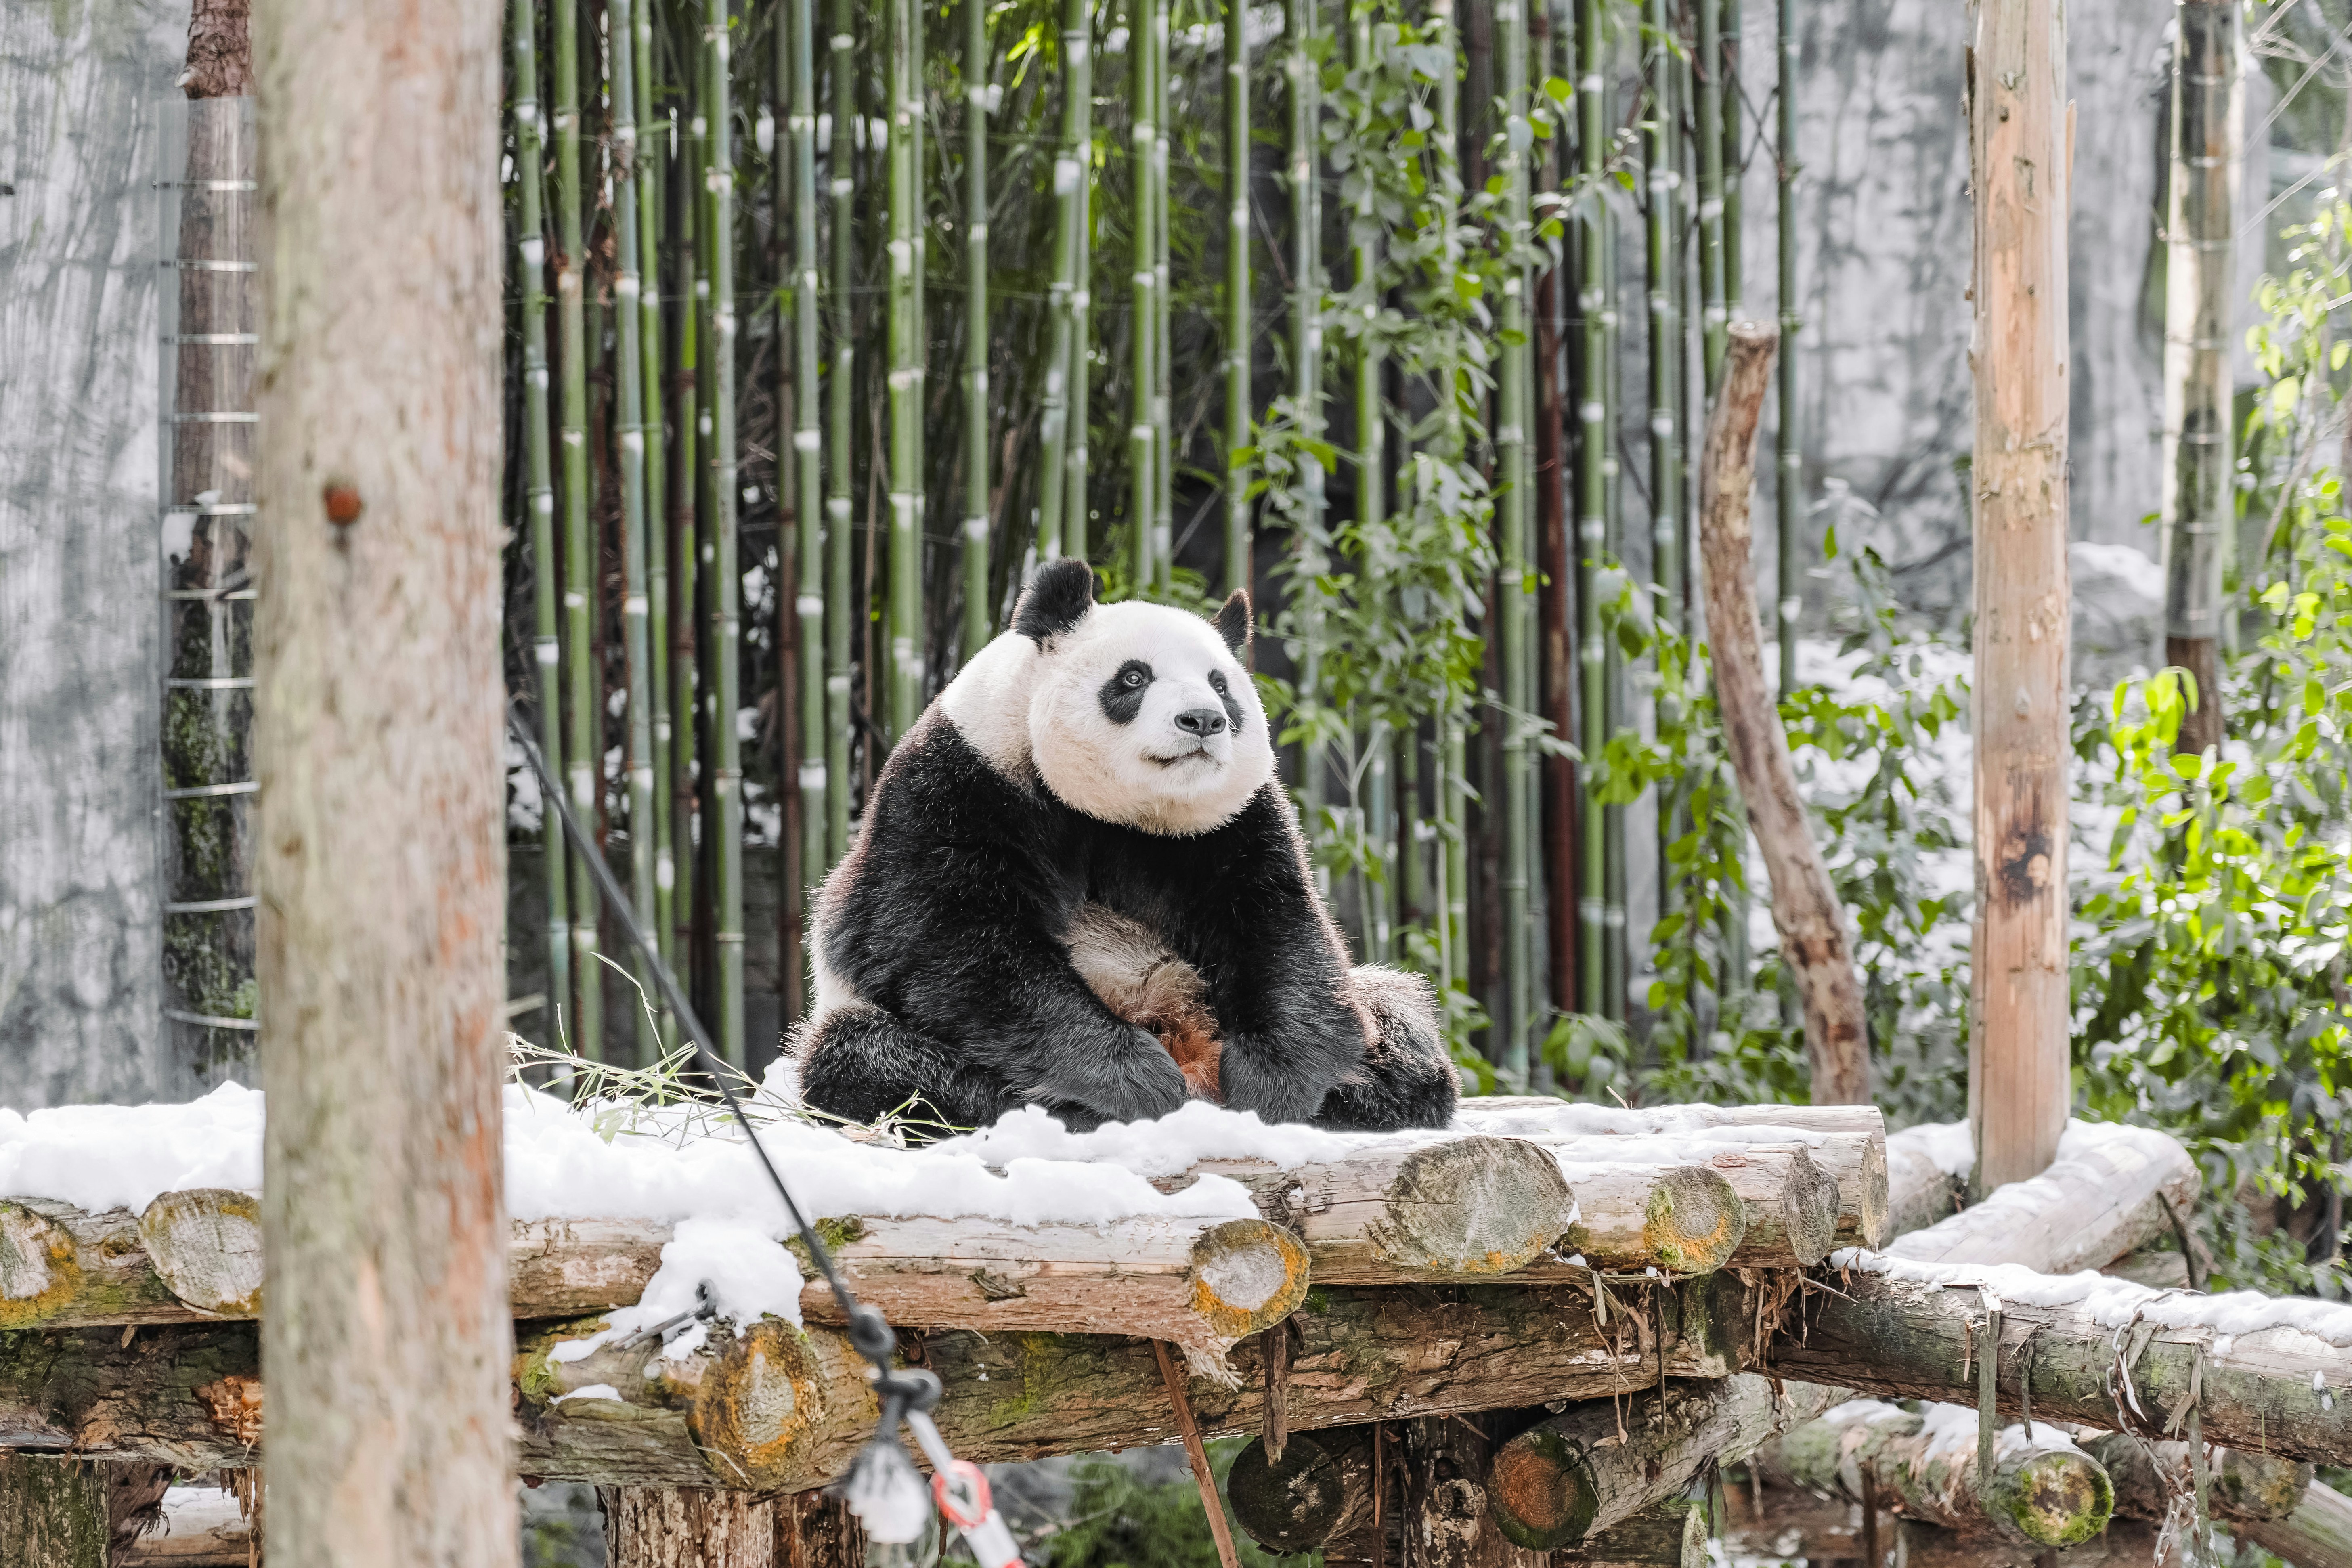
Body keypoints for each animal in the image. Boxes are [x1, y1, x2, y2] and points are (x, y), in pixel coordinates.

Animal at [789, 557, 1458, 1135]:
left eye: (1221, 685)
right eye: (1134, 678)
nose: (1202, 720)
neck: (1120, 812)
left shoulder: (1231, 823)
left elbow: (1278, 928)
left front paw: (1271, 1087)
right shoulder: (954, 787)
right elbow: (956, 944)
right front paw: (1135, 1083)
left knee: (1396, 1017)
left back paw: (1366, 1093)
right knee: (858, 1056)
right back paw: (1062, 1107)